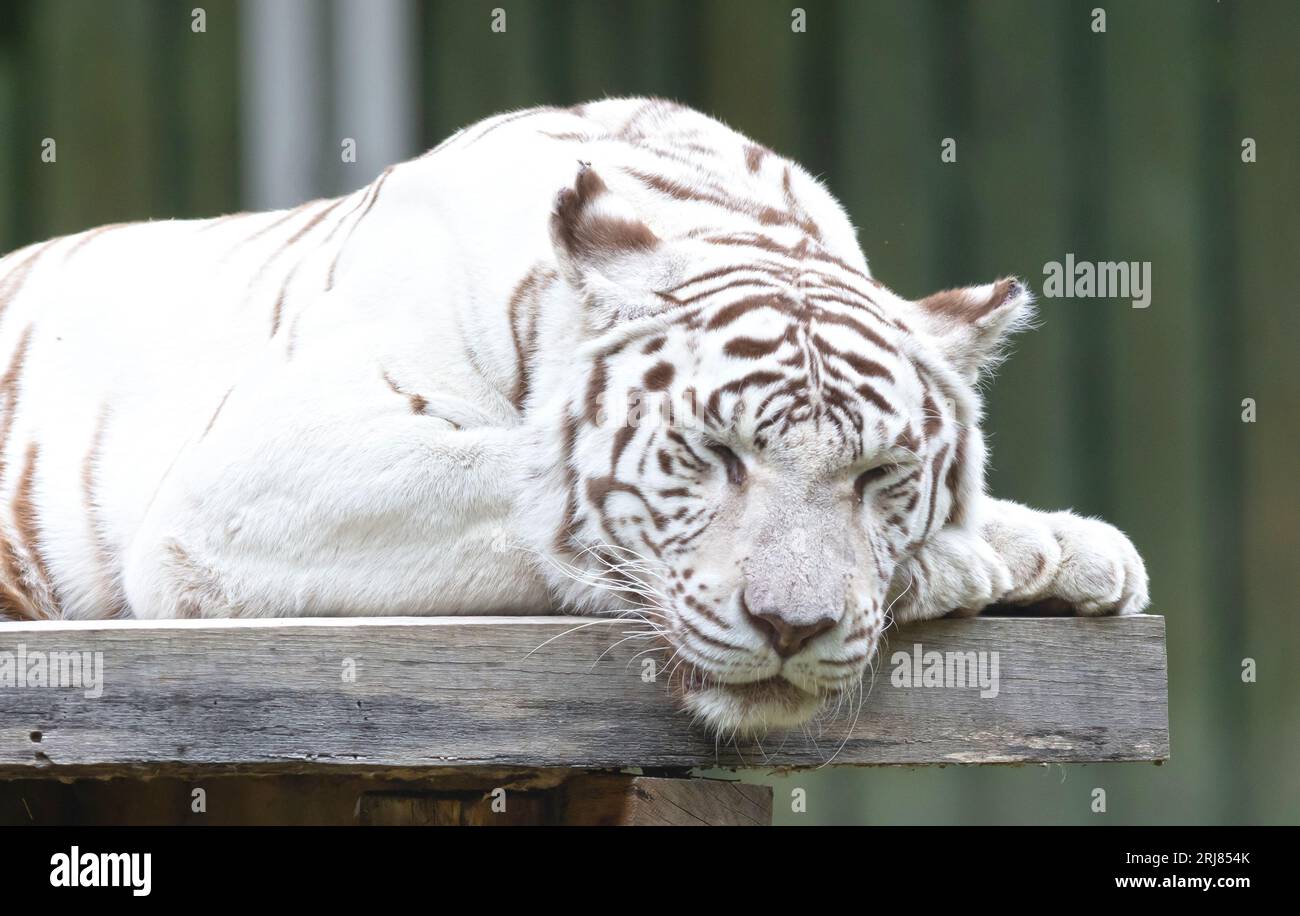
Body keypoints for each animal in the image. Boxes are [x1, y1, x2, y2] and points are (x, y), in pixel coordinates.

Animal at [0, 98, 1147, 734]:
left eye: (875, 478)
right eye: (717, 455)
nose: (792, 627)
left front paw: (1059, 544)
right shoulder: (236, 489)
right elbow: (529, 487)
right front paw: (970, 559)